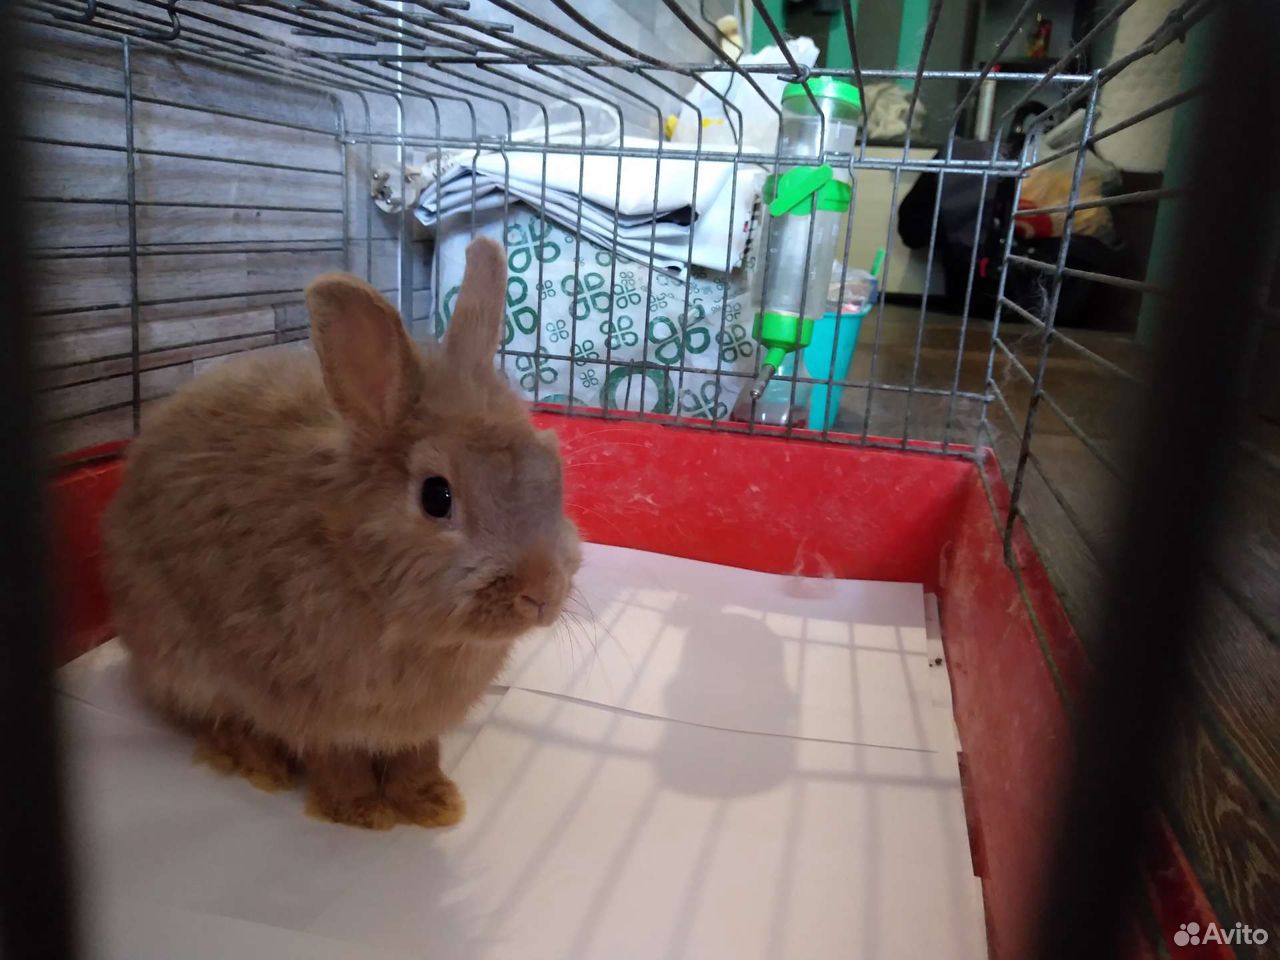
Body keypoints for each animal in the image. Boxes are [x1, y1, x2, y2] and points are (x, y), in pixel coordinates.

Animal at [102, 237, 581, 830]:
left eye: (551, 464)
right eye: (436, 497)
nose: (543, 594)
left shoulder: (414, 723)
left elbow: (417, 754)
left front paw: (432, 803)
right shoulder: (308, 702)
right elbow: (336, 758)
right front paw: (360, 812)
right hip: (180, 656)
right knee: (217, 718)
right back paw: (259, 763)